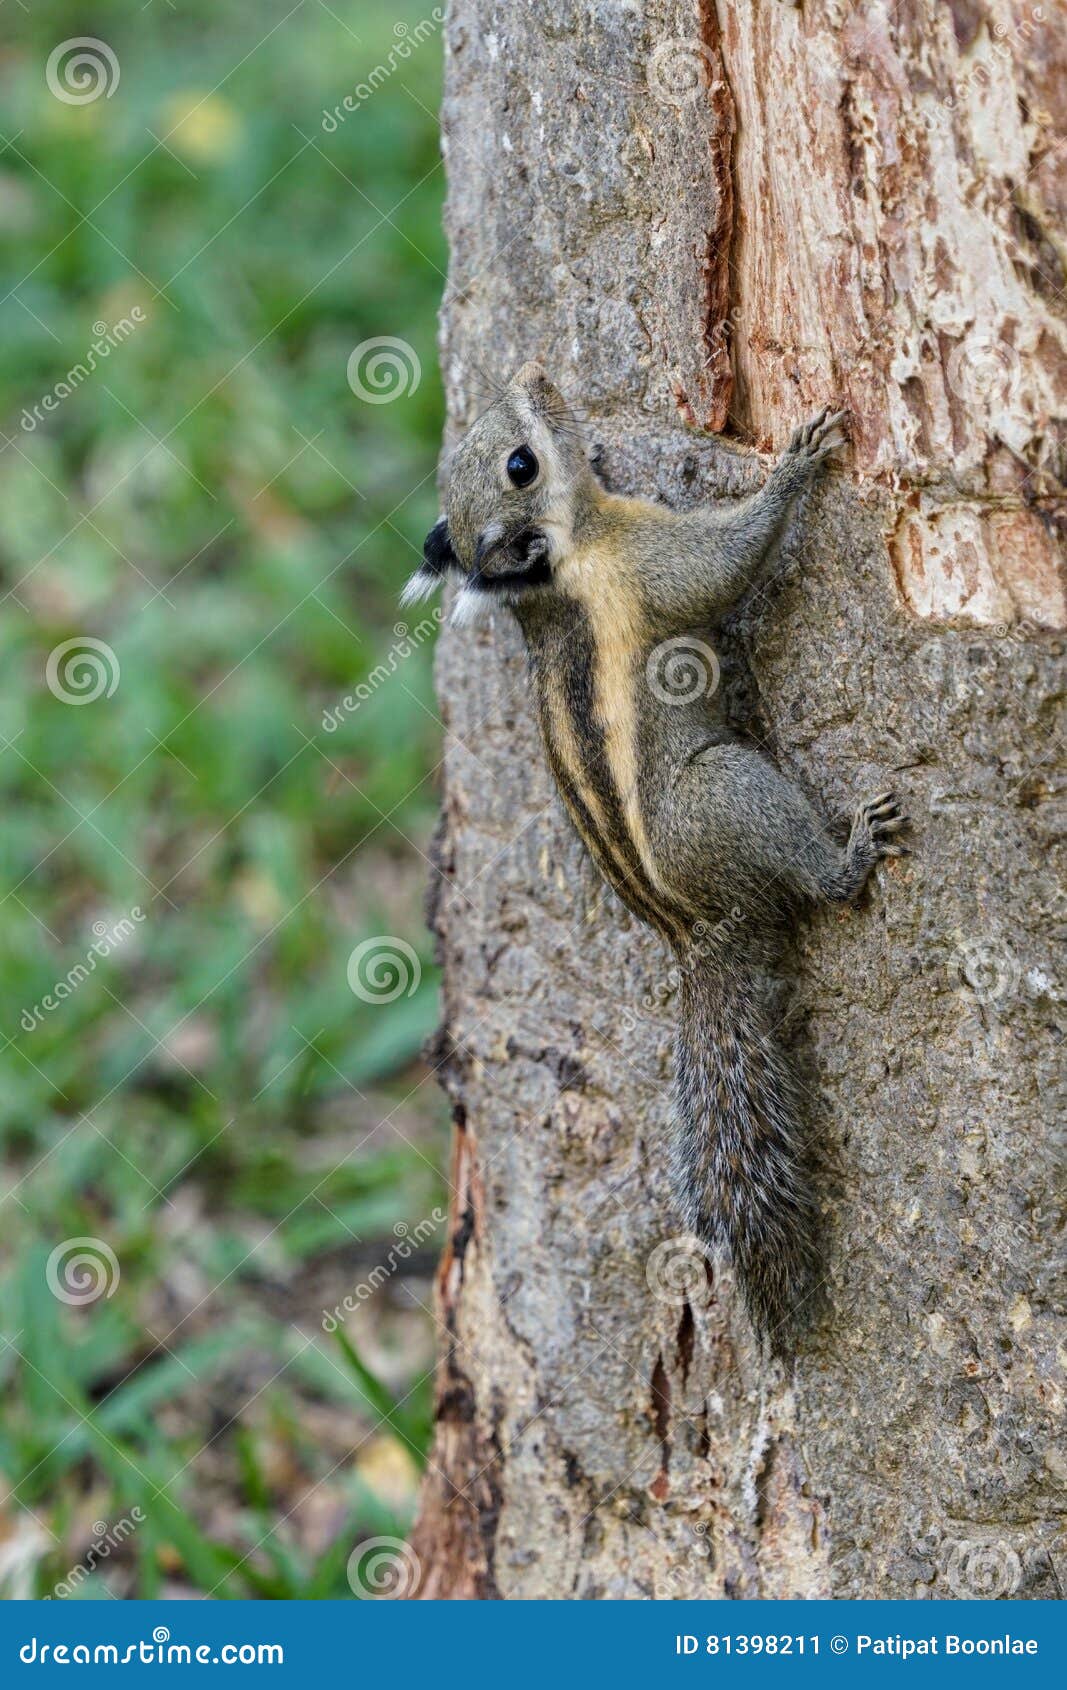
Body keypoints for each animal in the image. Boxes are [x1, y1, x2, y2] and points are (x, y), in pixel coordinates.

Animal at [402, 362, 908, 1352]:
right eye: (521, 464)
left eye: (499, 448)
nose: (534, 372)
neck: (567, 562)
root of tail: (693, 933)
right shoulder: (652, 562)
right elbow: (727, 564)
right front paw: (795, 466)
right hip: (723, 794)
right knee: (808, 873)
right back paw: (849, 855)